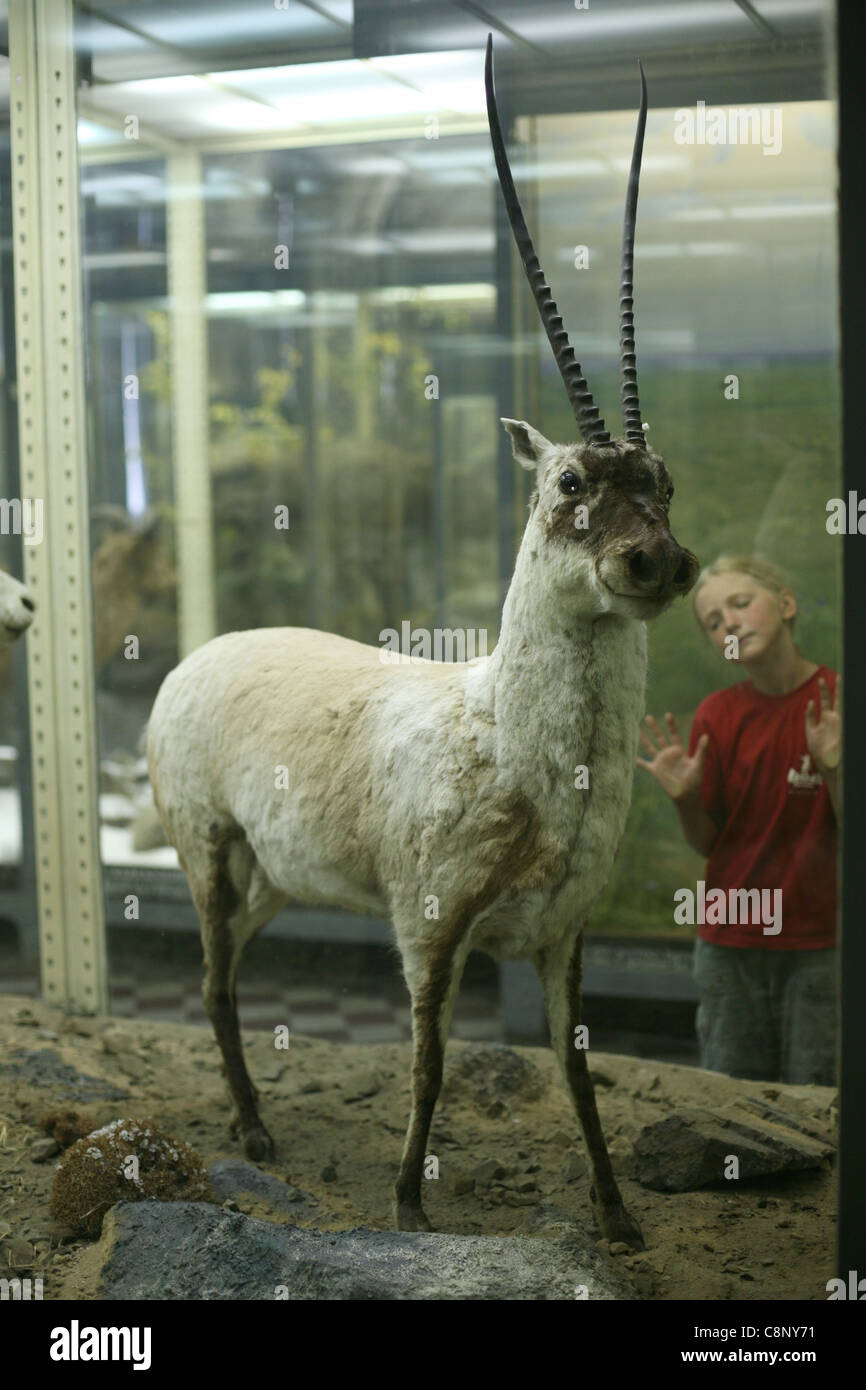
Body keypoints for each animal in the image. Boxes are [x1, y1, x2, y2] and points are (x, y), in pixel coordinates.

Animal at [146, 39, 697, 1250]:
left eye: (665, 484)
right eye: (570, 482)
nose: (660, 565)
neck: (511, 744)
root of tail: (193, 658)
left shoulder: (564, 935)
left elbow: (581, 1073)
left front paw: (620, 1218)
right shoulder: (429, 929)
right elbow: (431, 1060)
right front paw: (406, 1205)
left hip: (268, 876)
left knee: (230, 967)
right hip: (206, 848)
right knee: (209, 982)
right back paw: (255, 1133)